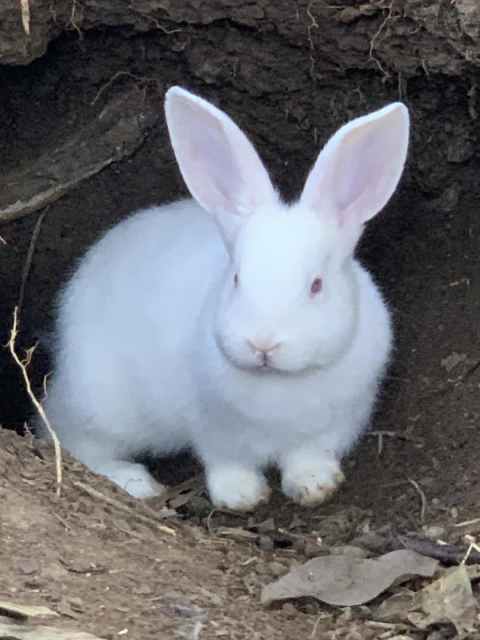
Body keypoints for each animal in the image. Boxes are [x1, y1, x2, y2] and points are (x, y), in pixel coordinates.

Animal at [40, 86, 409, 510]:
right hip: (102, 404)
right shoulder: (214, 430)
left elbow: (308, 456)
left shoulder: (333, 425)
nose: (262, 344)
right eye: (236, 279)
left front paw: (315, 486)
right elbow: (226, 462)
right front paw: (242, 496)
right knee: (73, 440)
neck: (280, 382)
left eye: (316, 285)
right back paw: (135, 481)